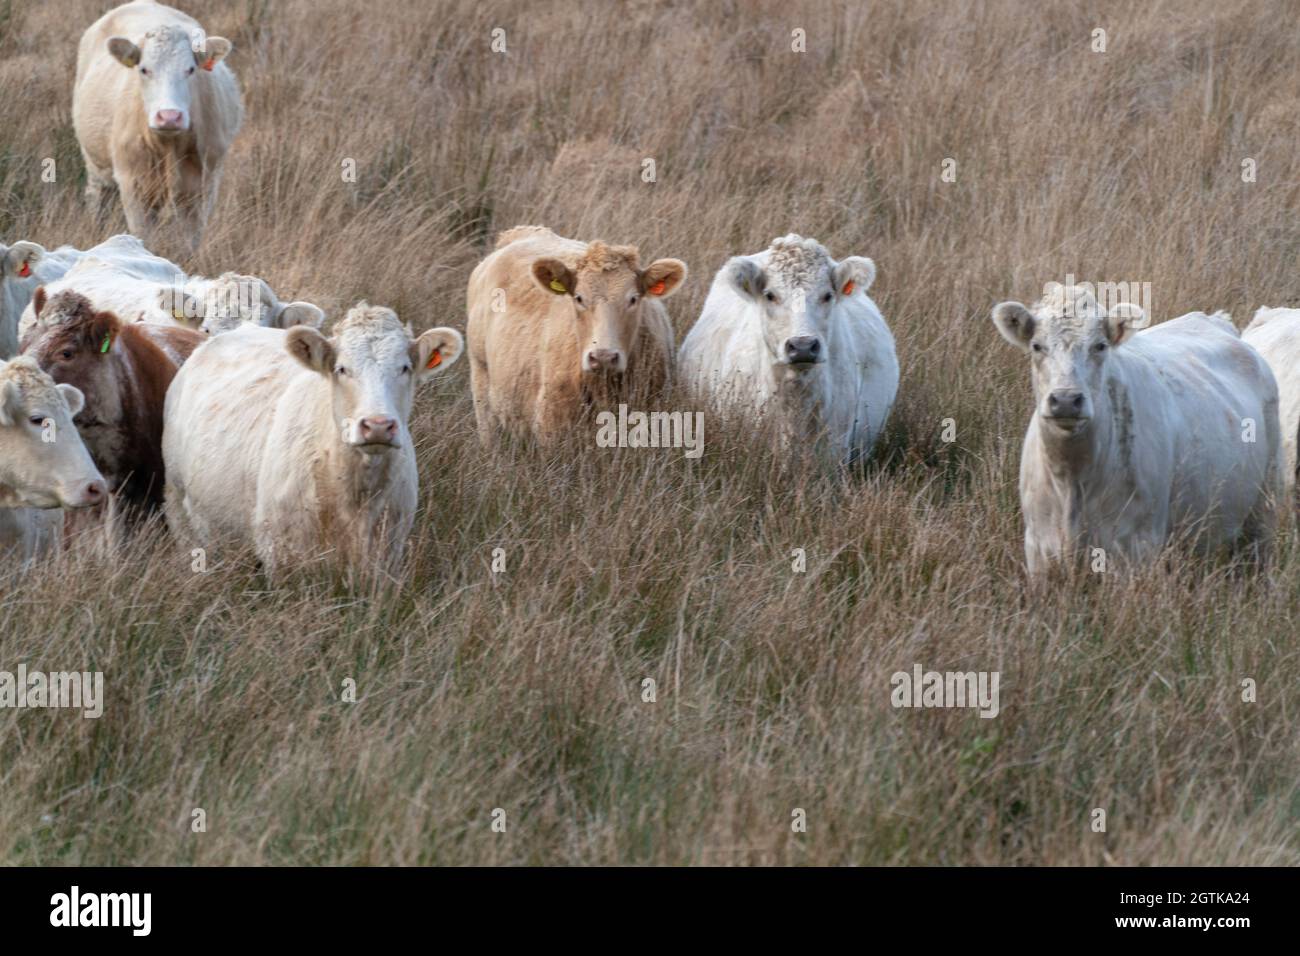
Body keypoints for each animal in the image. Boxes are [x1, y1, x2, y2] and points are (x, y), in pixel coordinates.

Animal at [74, 1, 243, 256]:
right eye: (144, 69)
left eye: (191, 69)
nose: (169, 116)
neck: (169, 144)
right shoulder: (133, 183)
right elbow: (143, 236)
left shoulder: (202, 185)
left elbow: (189, 240)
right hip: (96, 166)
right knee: (98, 203)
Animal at [163, 303, 463, 577]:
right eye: (341, 368)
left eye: (405, 368)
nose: (377, 426)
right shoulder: (282, 556)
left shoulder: (386, 557)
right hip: (179, 504)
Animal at [993, 283, 1282, 574]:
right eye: (1036, 346)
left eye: (1100, 346)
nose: (1065, 400)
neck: (1072, 479)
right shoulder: (1038, 551)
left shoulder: (1136, 549)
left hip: (1266, 502)